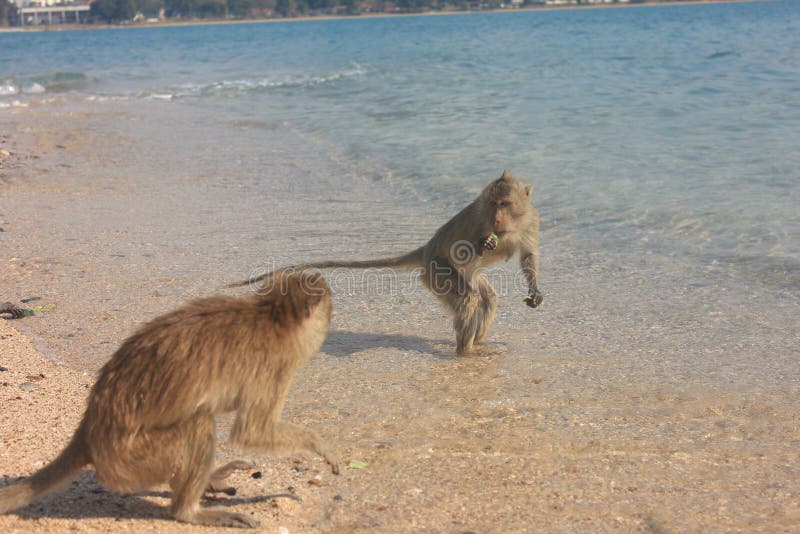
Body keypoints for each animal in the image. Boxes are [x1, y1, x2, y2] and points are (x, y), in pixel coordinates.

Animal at [0, 270, 339, 529]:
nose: (332, 319)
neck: (270, 317)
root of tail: (88, 432)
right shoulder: (274, 366)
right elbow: (252, 432)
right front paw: (321, 445)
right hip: (128, 460)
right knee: (198, 424)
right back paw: (188, 511)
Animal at [230, 170, 543, 355]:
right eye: (492, 205)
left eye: (505, 204)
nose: (496, 219)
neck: (508, 227)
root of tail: (427, 249)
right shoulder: (478, 221)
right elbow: (463, 248)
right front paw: (483, 244)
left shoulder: (531, 220)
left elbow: (528, 256)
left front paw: (535, 290)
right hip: (436, 271)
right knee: (467, 296)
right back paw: (465, 350)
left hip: (453, 274)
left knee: (485, 296)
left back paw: (477, 341)